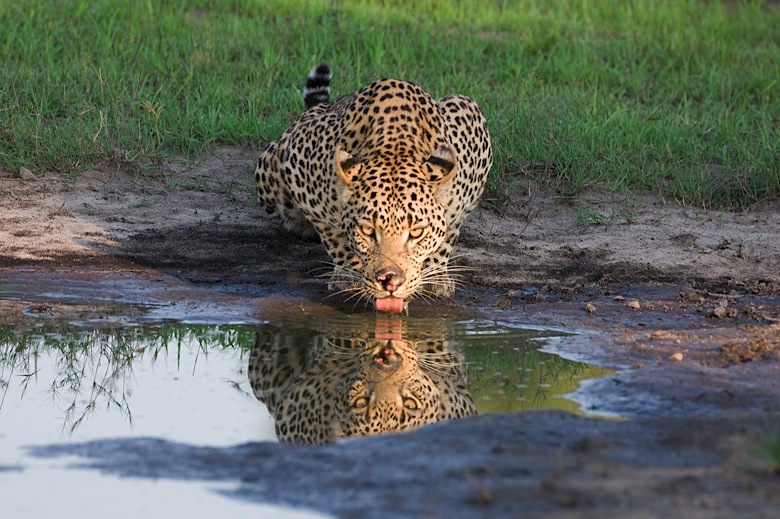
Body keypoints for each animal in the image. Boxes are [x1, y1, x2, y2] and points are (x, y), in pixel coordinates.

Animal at [255, 64, 492, 312]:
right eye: (367, 231)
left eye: (417, 233)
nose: (389, 280)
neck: (396, 144)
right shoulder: (298, 161)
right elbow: (333, 236)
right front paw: (348, 273)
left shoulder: (470, 119)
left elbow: (448, 234)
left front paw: (435, 276)